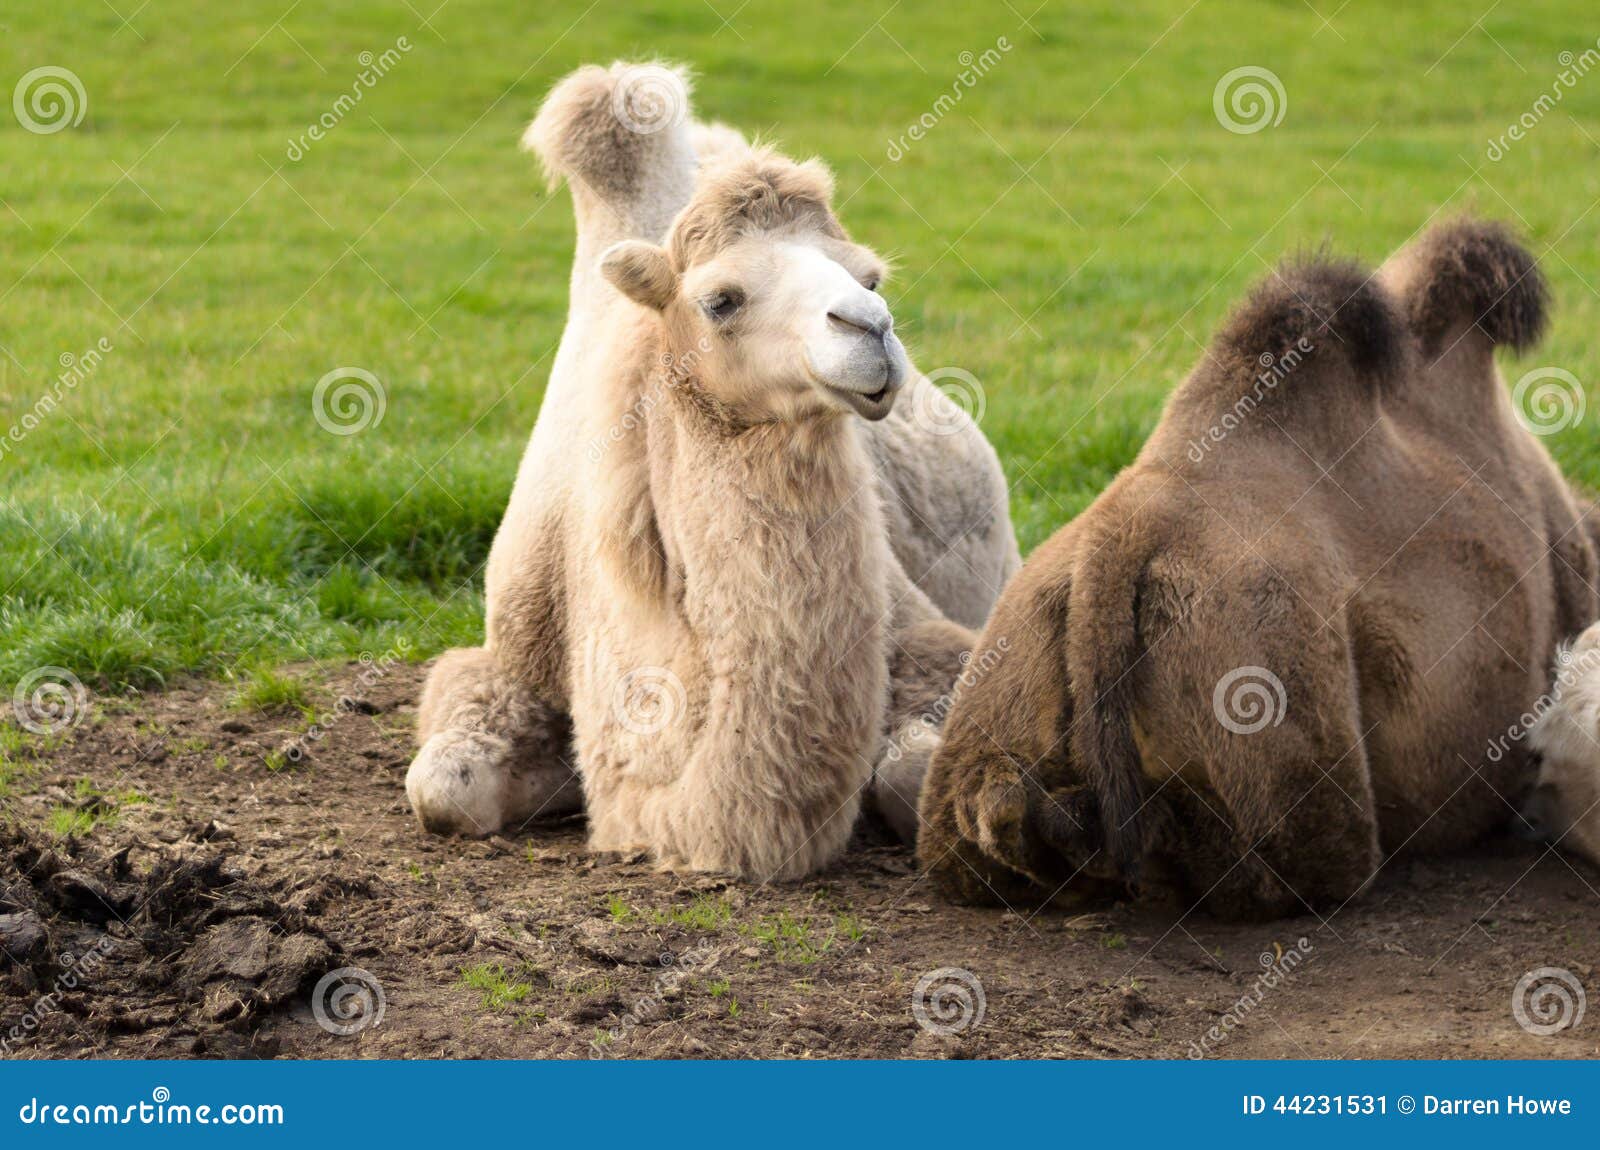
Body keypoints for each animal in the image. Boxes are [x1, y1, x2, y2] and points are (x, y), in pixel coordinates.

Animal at [405, 63, 1019, 880]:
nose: (870, 329)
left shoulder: (927, 635)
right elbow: (446, 788)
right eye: (720, 300)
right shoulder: (510, 652)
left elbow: (915, 769)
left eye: (872, 278)